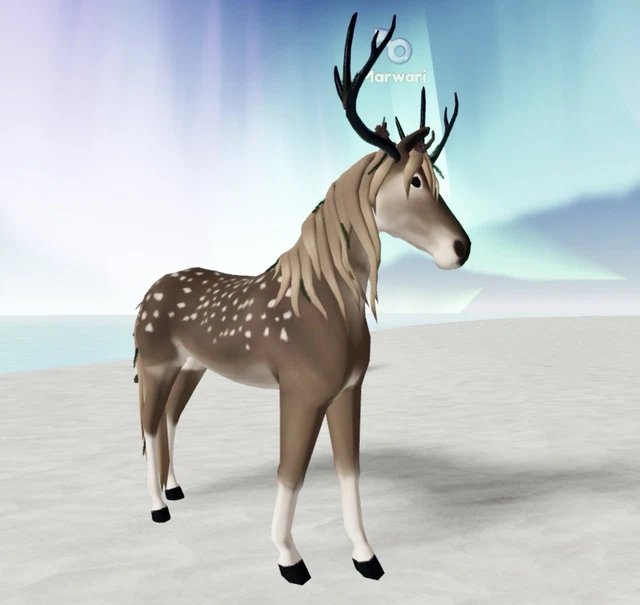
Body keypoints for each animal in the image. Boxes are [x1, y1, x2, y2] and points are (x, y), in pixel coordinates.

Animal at [133, 12, 470, 585]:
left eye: (436, 180)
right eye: (414, 181)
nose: (461, 248)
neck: (326, 306)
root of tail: (148, 293)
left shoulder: (347, 392)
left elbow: (348, 470)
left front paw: (366, 557)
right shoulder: (300, 393)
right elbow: (289, 471)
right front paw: (289, 559)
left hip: (192, 367)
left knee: (172, 419)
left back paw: (175, 490)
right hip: (156, 365)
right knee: (150, 425)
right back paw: (157, 507)